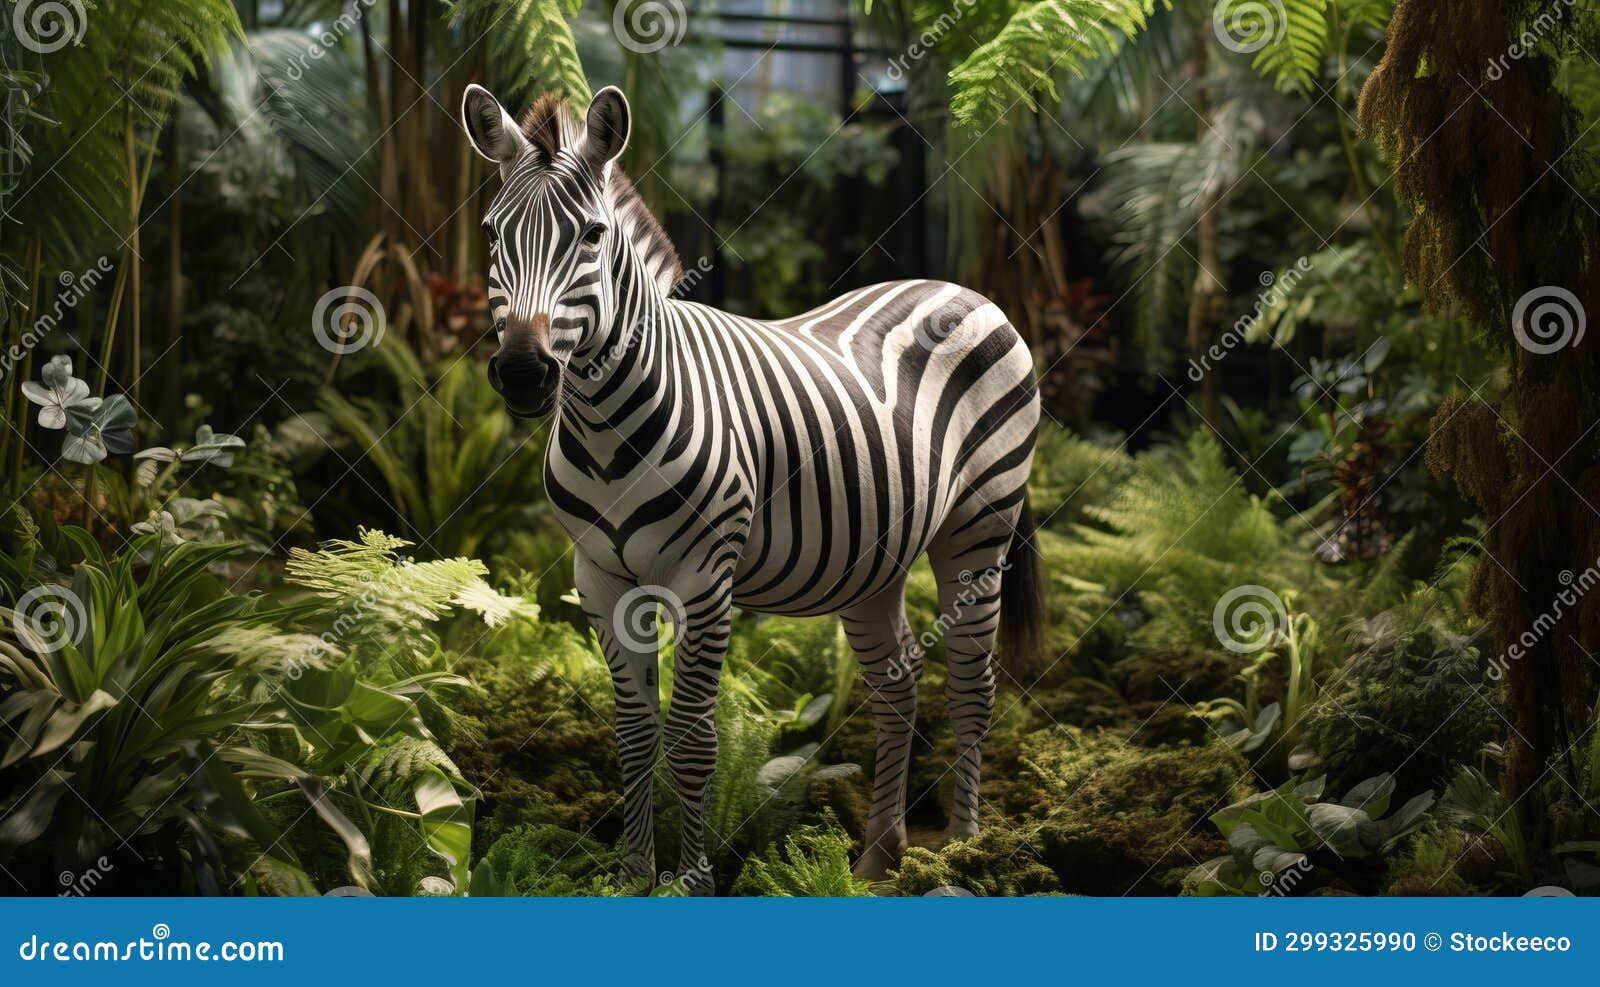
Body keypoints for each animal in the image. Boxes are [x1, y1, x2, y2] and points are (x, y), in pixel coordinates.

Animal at [461, 83, 1044, 893]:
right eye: (491, 234)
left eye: (592, 235)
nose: (522, 373)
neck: (607, 427)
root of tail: (958, 288)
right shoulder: (601, 579)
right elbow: (634, 731)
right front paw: (632, 876)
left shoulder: (705, 580)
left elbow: (692, 738)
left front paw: (693, 882)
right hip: (876, 557)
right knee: (898, 680)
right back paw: (878, 855)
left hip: (980, 524)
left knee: (971, 681)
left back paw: (962, 848)